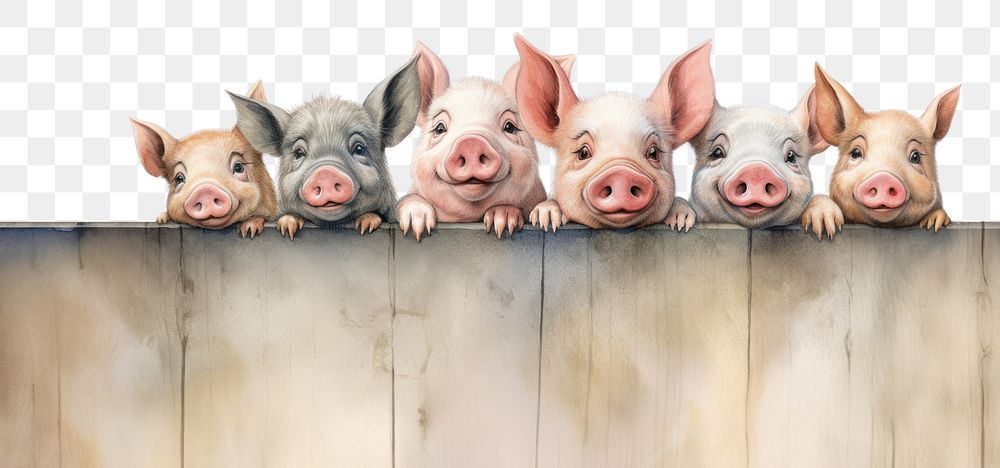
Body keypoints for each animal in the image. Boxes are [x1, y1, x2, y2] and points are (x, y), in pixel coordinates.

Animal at [396, 41, 574, 240]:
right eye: (440, 128)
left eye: (509, 126)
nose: (471, 143)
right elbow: (408, 200)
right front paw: (415, 224)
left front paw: (508, 220)